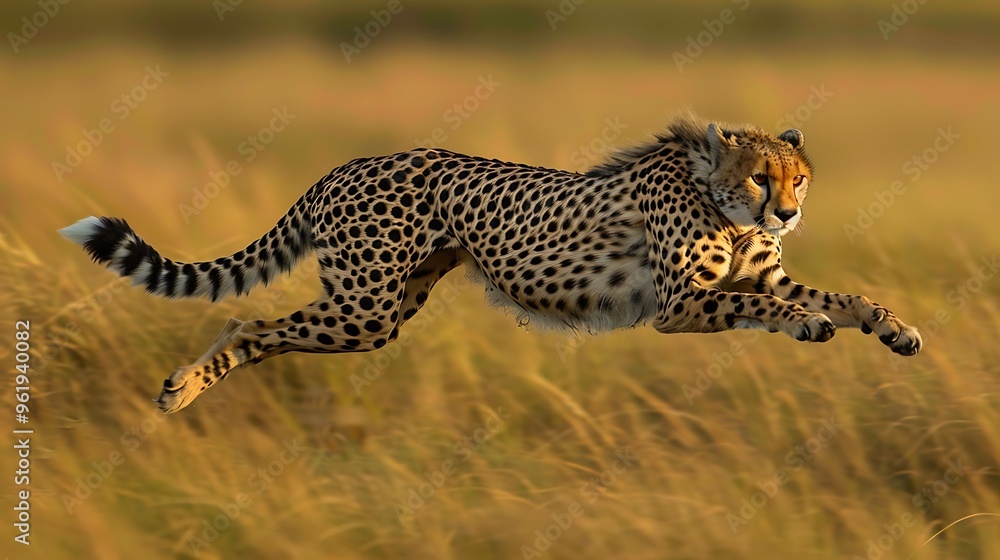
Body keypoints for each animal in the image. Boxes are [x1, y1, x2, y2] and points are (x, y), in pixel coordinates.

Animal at [59, 112, 922, 413]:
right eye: (760, 178)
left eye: (799, 178)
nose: (790, 212)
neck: (722, 203)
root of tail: (345, 165)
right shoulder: (681, 308)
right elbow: (776, 306)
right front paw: (806, 326)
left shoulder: (758, 272)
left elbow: (845, 296)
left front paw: (896, 329)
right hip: (363, 306)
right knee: (246, 320)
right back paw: (184, 386)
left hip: (381, 310)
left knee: (262, 331)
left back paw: (187, 387)